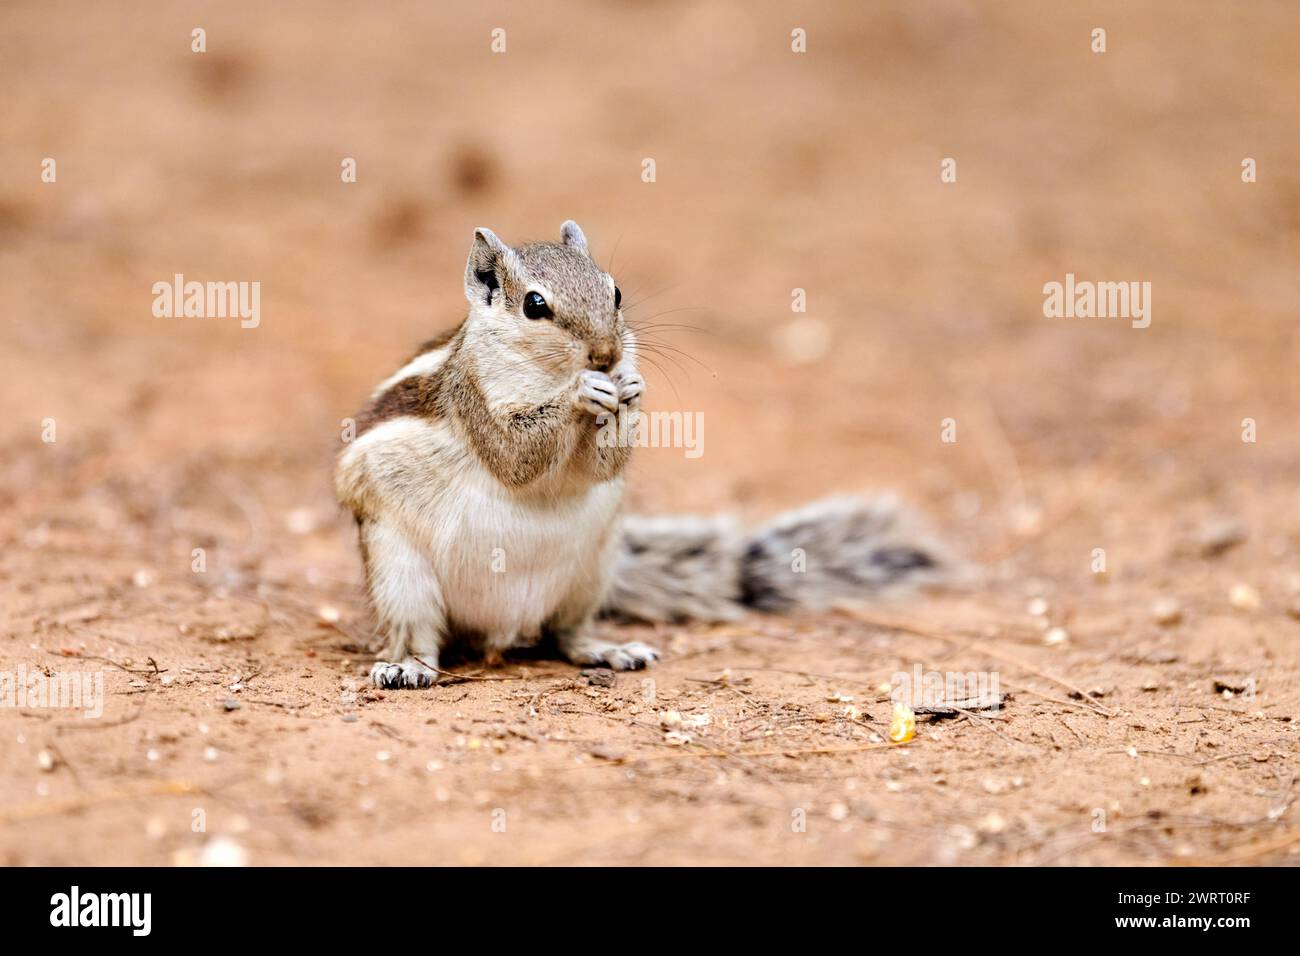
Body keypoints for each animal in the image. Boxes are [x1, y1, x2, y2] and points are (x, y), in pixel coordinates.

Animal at [336, 221, 944, 688]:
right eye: (534, 305)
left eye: (617, 291)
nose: (606, 355)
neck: (543, 371)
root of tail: (495, 629)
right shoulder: (474, 398)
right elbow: (515, 456)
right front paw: (580, 392)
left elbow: (601, 465)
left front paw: (630, 389)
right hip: (400, 575)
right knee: (420, 636)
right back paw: (408, 667)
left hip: (590, 572)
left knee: (563, 636)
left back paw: (608, 649)